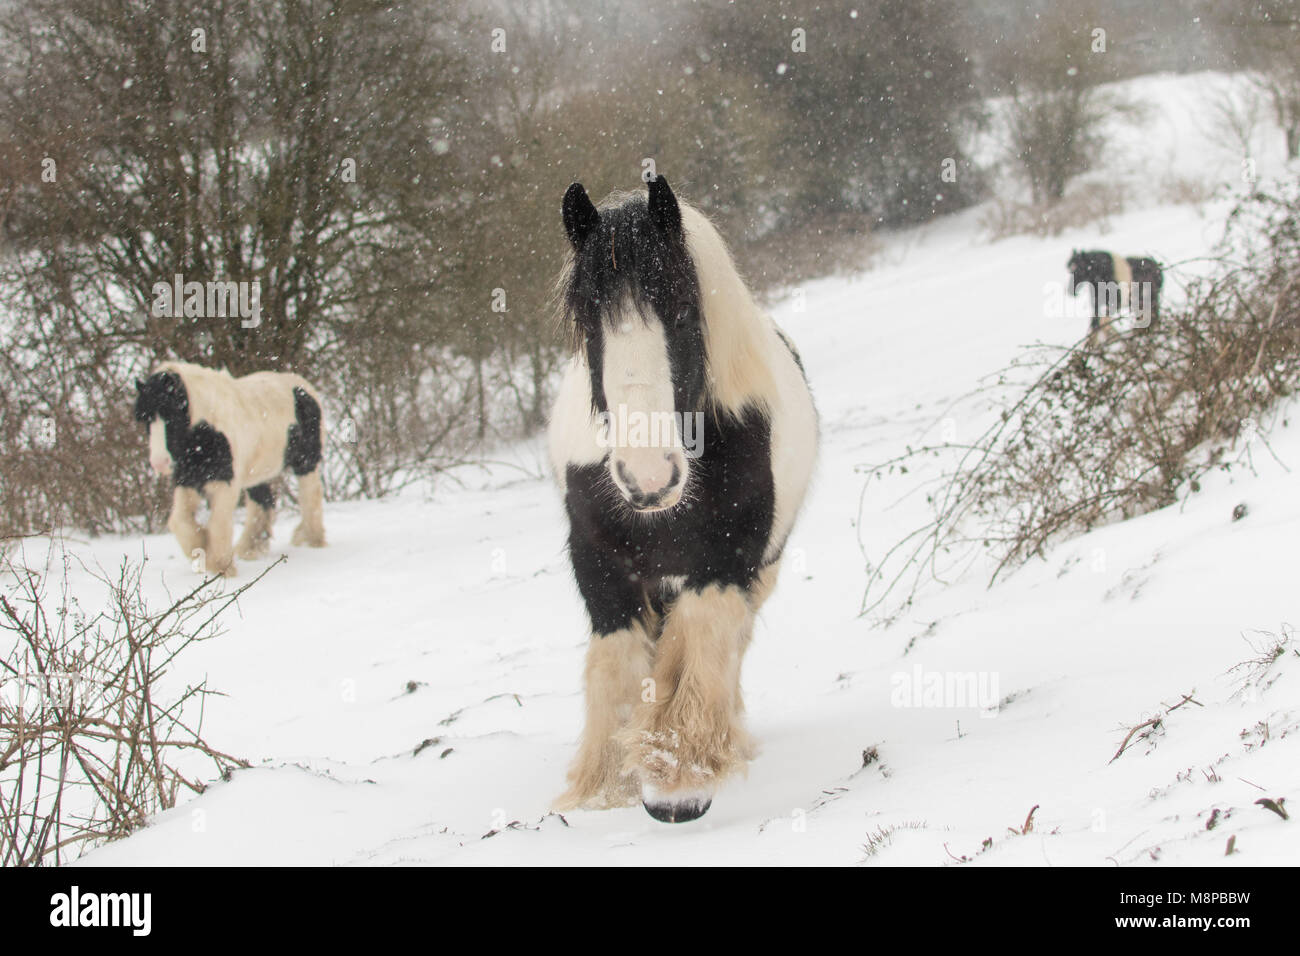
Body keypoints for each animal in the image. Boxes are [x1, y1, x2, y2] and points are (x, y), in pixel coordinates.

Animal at [133, 361, 326, 577]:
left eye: (172, 415)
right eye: (145, 418)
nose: (160, 462)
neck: (207, 428)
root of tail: (304, 388)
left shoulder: (225, 482)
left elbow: (218, 523)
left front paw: (221, 567)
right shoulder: (188, 480)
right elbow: (180, 521)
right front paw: (201, 549)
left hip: (306, 463)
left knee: (310, 497)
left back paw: (312, 541)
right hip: (257, 474)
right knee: (263, 502)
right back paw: (250, 549)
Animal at [547, 175, 818, 823]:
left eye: (681, 310)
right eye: (590, 324)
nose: (648, 478)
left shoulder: (724, 561)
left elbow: (698, 648)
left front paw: (678, 778)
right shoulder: (599, 563)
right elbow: (618, 662)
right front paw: (607, 784)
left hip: (762, 569)